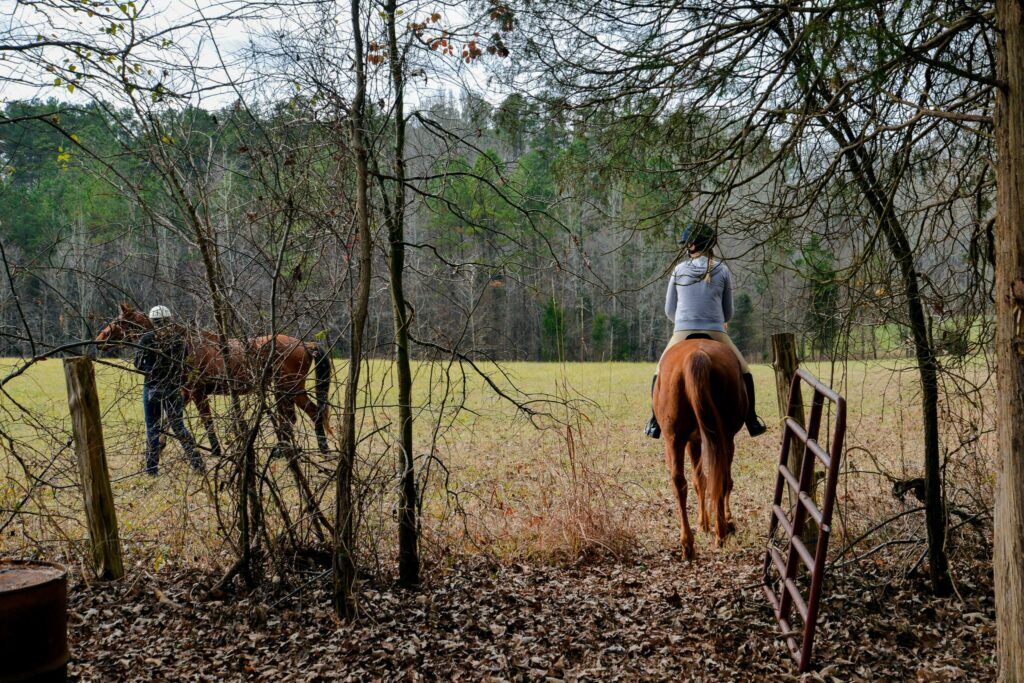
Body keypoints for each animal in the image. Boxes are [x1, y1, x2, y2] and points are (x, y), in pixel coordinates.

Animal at [96, 303, 333, 459]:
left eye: (118, 322)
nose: (99, 339)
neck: (185, 345)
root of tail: (304, 344)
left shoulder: (196, 393)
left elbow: (206, 421)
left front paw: (216, 450)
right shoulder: (186, 393)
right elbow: (169, 419)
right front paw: (161, 445)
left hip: (289, 388)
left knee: (308, 414)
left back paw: (315, 449)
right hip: (284, 391)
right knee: (296, 417)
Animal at [654, 337, 747, 560]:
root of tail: (696, 355)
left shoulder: (692, 441)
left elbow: (699, 480)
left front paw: (704, 523)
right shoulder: (703, 440)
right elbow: (709, 480)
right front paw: (715, 521)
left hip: (674, 438)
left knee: (679, 482)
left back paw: (688, 544)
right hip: (723, 437)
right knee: (720, 478)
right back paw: (720, 534)